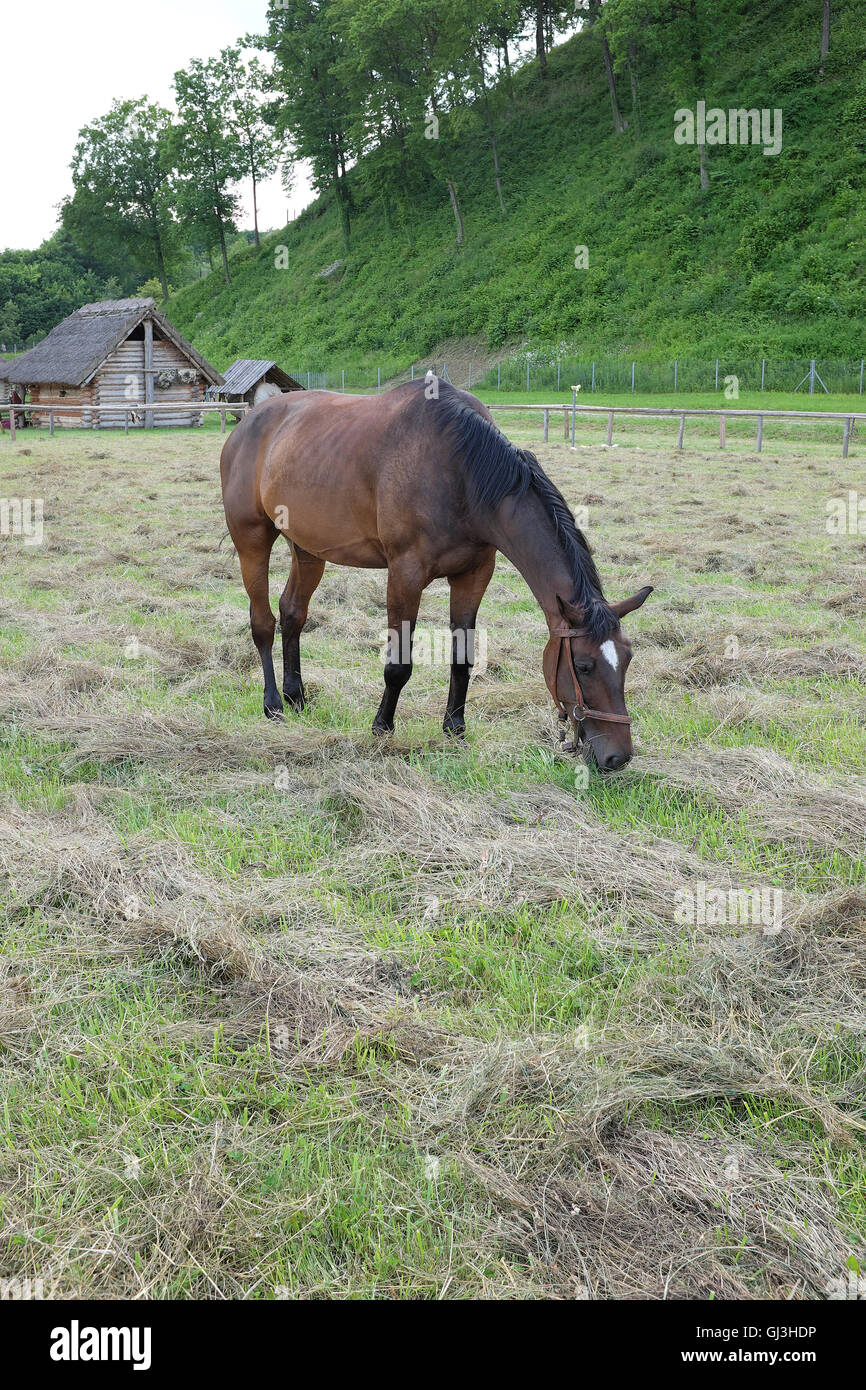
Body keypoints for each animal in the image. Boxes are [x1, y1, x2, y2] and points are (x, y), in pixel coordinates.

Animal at [220, 378, 652, 770]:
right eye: (584, 666)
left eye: (628, 659)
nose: (617, 757)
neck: (461, 470)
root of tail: (246, 424)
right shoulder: (405, 575)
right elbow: (399, 664)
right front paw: (382, 728)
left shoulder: (474, 575)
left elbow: (463, 656)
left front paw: (455, 728)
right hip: (252, 540)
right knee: (263, 622)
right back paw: (273, 704)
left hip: (308, 550)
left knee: (293, 613)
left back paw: (297, 697)